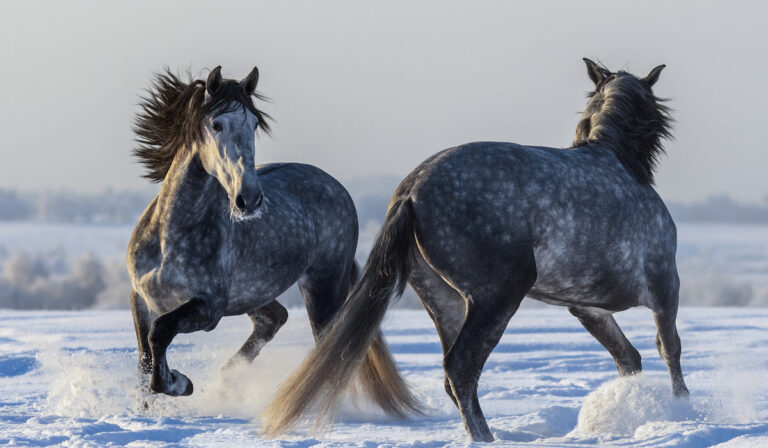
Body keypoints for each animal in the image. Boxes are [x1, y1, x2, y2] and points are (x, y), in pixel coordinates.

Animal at [127, 66, 416, 411]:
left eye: (254, 124)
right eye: (216, 124)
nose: (249, 199)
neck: (170, 239)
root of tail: (336, 186)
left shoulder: (209, 308)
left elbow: (160, 336)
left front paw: (181, 383)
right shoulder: (141, 300)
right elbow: (146, 361)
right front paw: (149, 407)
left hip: (322, 287)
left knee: (327, 347)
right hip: (254, 294)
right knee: (274, 319)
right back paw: (226, 382)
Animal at [262, 59, 688, 442]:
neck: (622, 167)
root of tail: (412, 189)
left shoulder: (588, 308)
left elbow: (628, 358)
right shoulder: (664, 288)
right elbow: (668, 348)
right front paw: (683, 408)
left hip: (447, 301)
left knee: (454, 375)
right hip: (496, 298)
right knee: (461, 367)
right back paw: (484, 436)